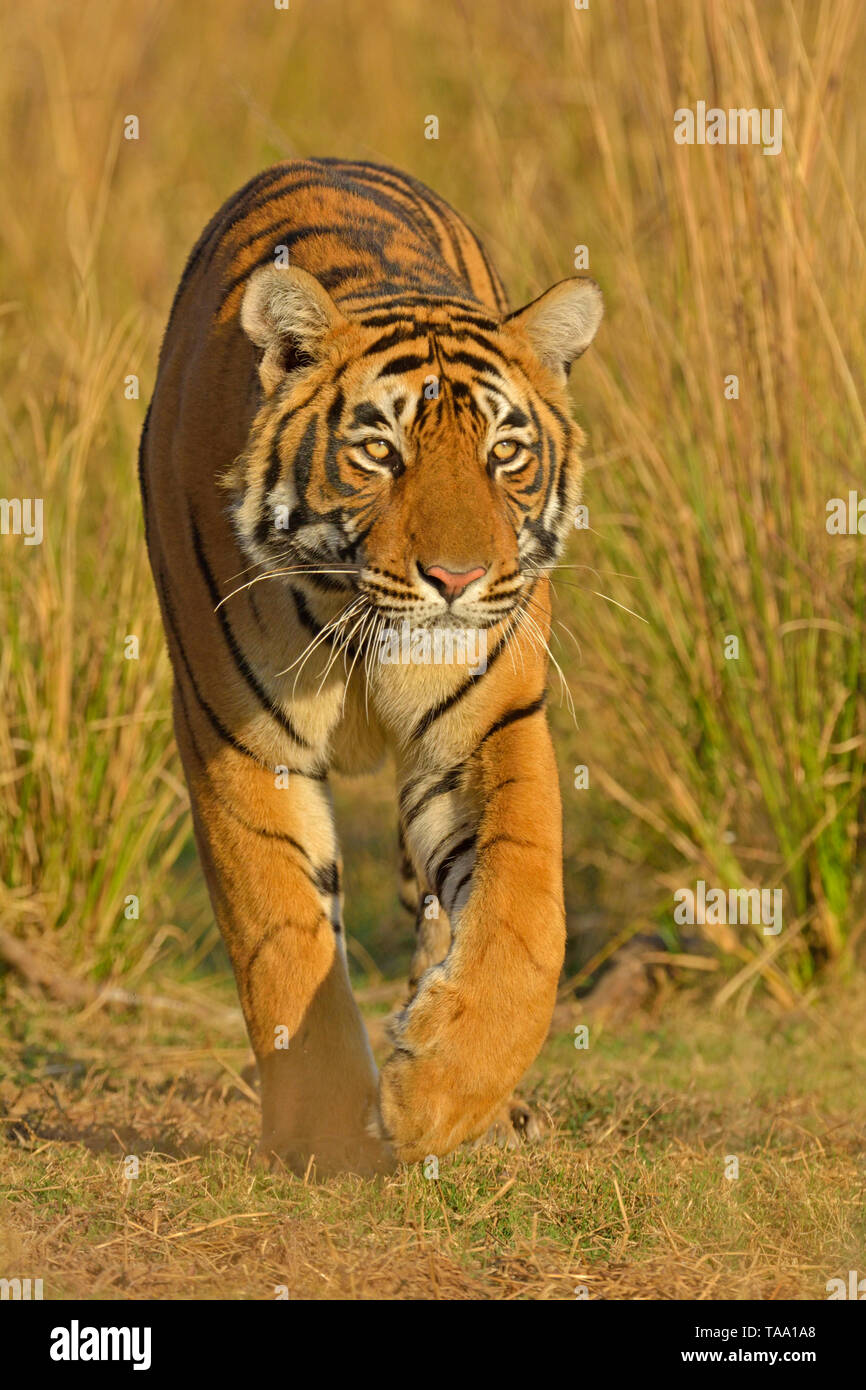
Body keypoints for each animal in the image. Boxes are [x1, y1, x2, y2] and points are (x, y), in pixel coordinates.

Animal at [139, 157, 603, 1176]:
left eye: (504, 453)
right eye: (379, 453)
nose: (458, 580)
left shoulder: (488, 728)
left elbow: (525, 920)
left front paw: (437, 1095)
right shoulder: (242, 745)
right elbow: (282, 938)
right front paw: (323, 1138)